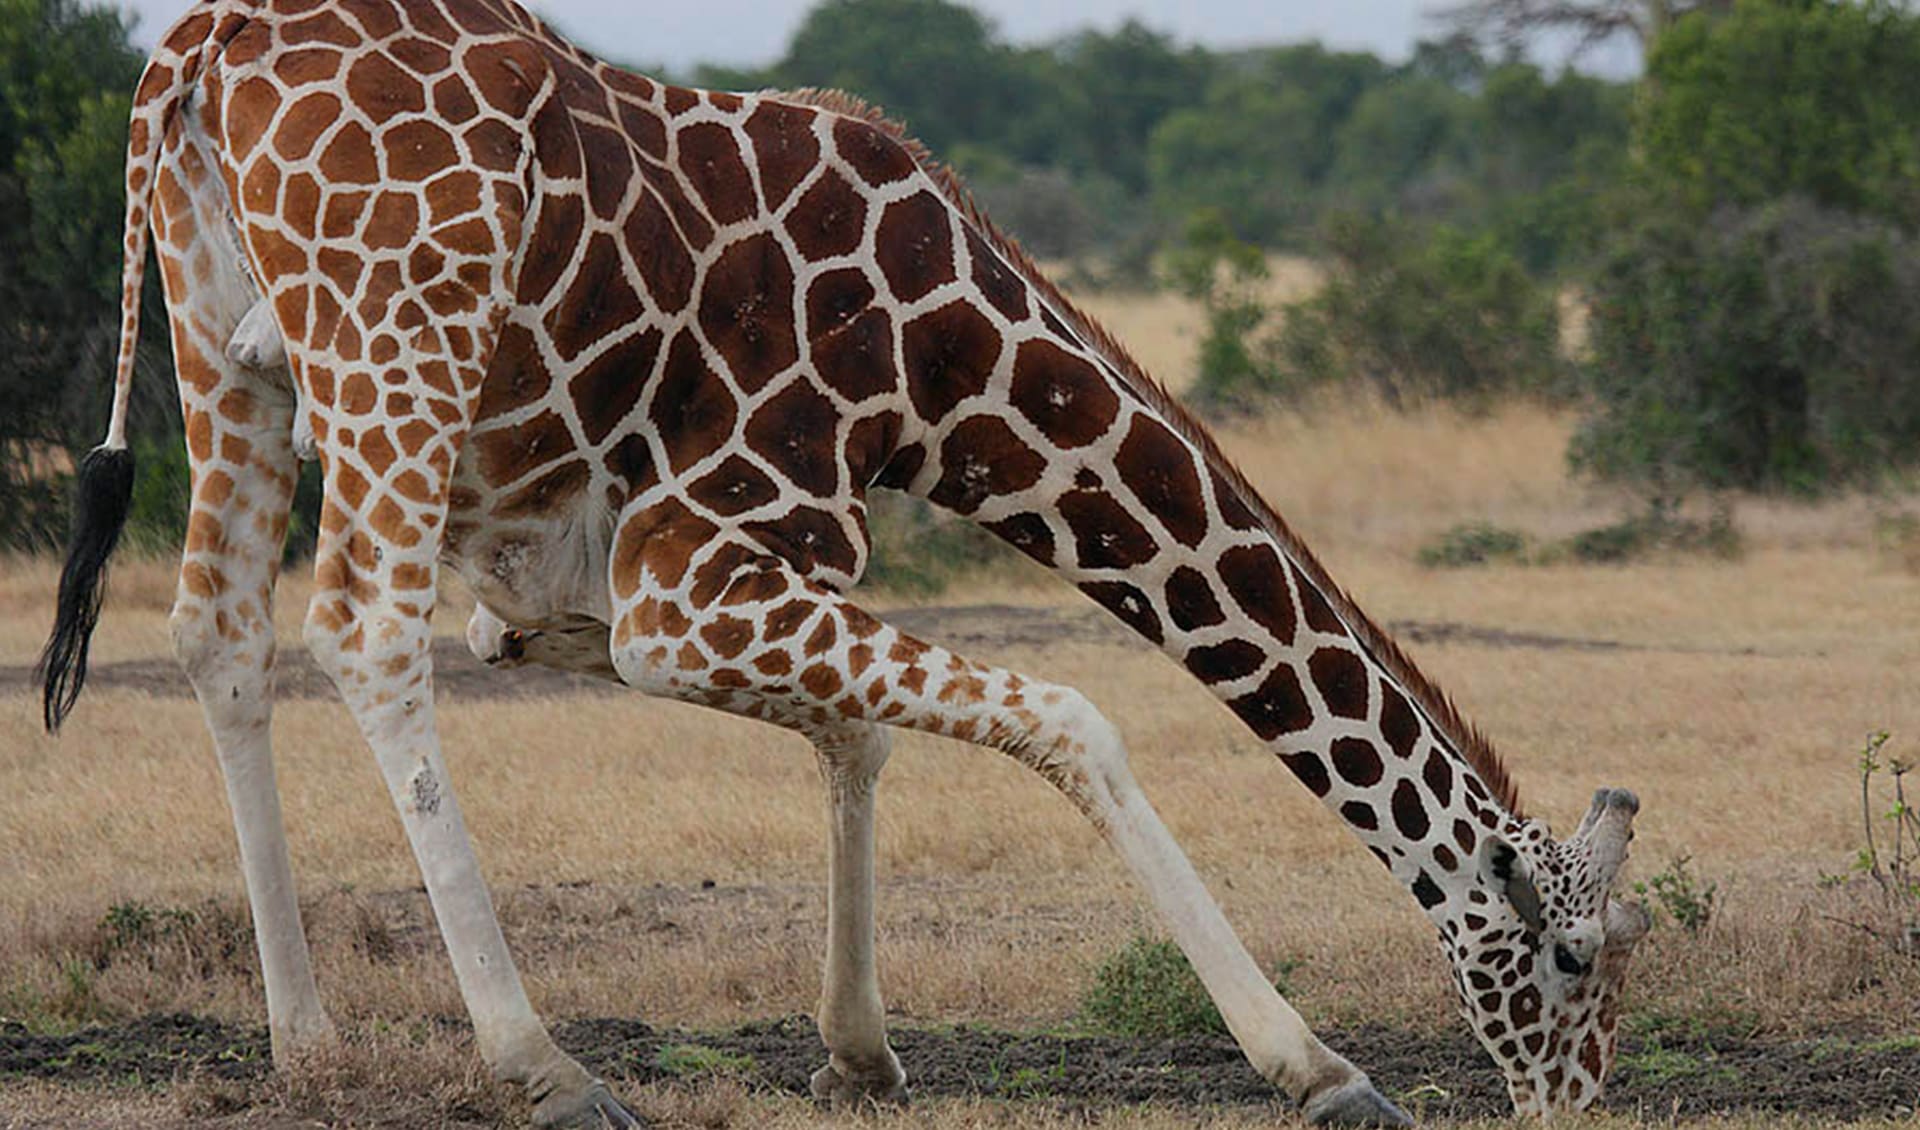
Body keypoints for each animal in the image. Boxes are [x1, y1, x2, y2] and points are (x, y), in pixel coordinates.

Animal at [35, 0, 1653, 1123]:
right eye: (1579, 960)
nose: (1575, 1100)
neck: (946, 371)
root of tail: (200, 44)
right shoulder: (682, 582)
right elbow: (1076, 719)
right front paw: (1318, 1066)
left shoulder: (599, 586)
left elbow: (862, 734)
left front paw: (859, 1048)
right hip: (394, 336)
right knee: (362, 630)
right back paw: (541, 1064)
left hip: (226, 346)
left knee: (218, 629)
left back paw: (305, 1043)